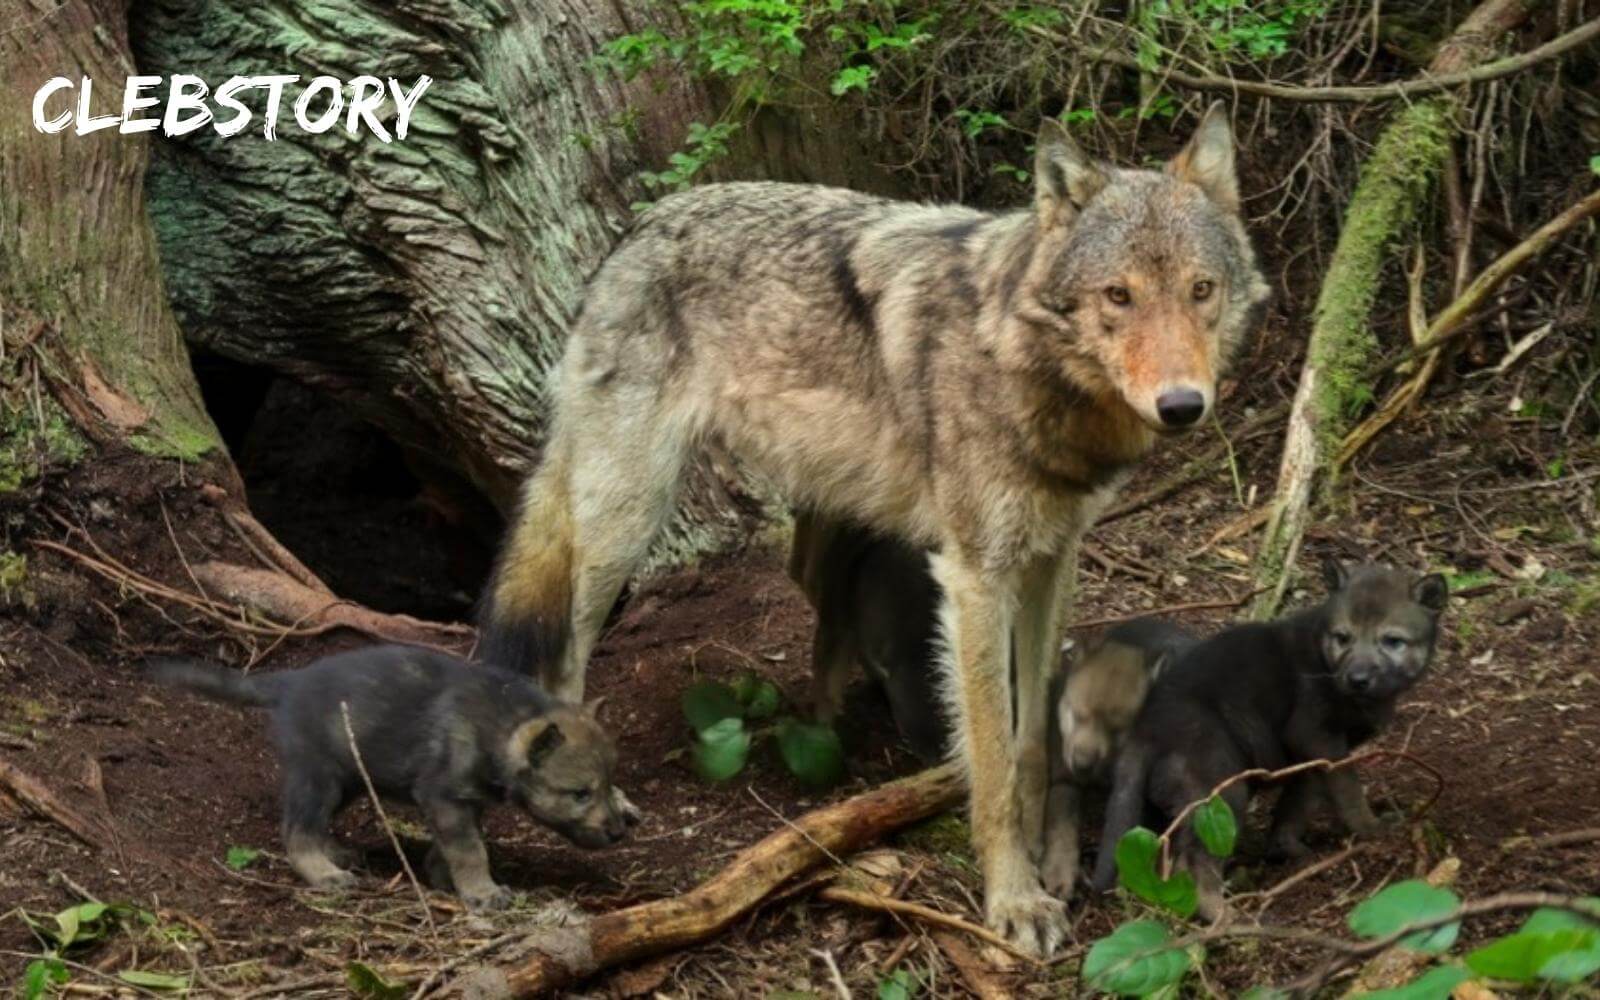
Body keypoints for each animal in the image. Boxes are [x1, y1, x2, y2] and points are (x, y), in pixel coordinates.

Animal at [145, 645, 631, 911]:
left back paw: (337, 853)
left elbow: (457, 845)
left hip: (348, 779)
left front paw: (442, 877)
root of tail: (289, 683)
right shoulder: (444, 797)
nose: (619, 832)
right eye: (580, 793)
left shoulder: (463, 803)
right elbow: (471, 851)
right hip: (319, 777)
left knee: (317, 825)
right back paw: (323, 873)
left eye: (610, 785)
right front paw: (482, 893)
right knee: (297, 830)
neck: (502, 725)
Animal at [480, 102, 1269, 953]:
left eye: (1201, 290)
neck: (1020, 365)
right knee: (566, 653)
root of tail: (635, 230)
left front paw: (1041, 865)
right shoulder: (973, 577)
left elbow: (1030, 742)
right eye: (1118, 295)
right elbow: (991, 757)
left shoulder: (1051, 561)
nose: (1182, 406)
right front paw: (1011, 900)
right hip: (627, 520)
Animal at [1089, 561, 1448, 919]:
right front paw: (1372, 829)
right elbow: (1348, 789)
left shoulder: (1311, 756)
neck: (1322, 655)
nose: (1356, 679)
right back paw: (1231, 918)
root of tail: (1145, 729)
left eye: (1392, 641)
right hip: (1221, 793)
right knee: (1191, 864)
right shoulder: (1315, 735)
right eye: (1343, 637)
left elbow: (1298, 802)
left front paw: (1285, 850)